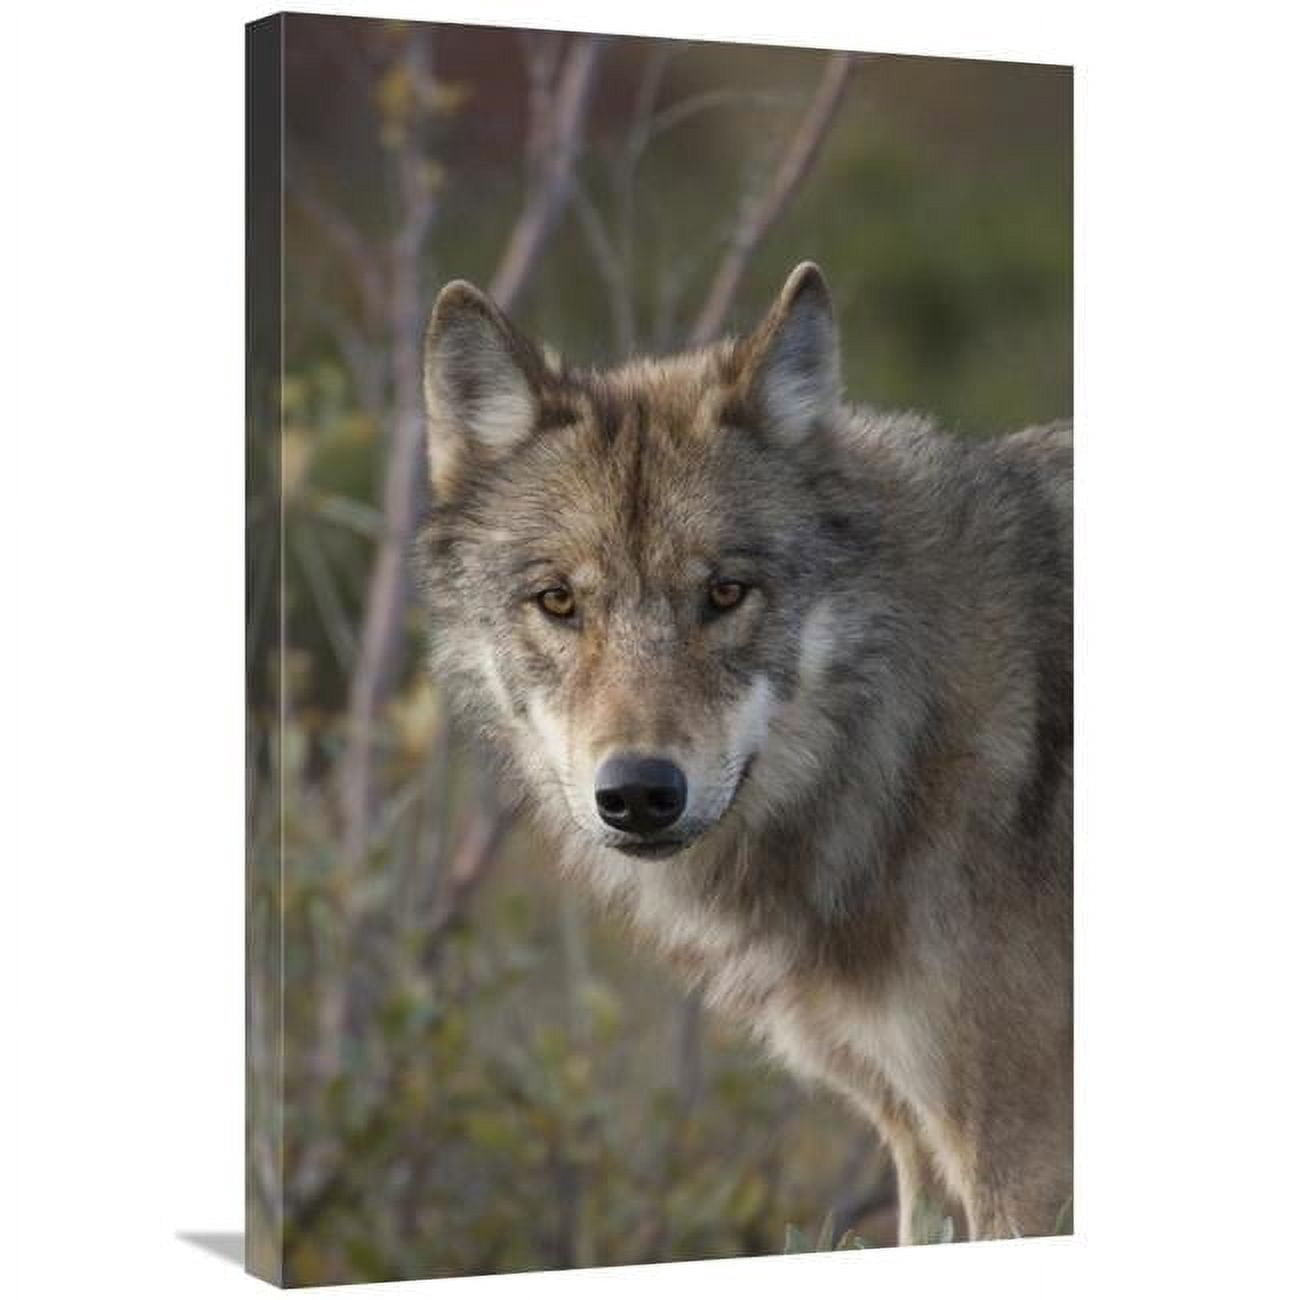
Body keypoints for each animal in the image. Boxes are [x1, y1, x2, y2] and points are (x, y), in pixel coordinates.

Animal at [418, 262, 1072, 1245]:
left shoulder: (1022, 1155)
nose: (639, 793)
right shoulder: (914, 1135)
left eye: (725, 593)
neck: (909, 743)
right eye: (559, 601)